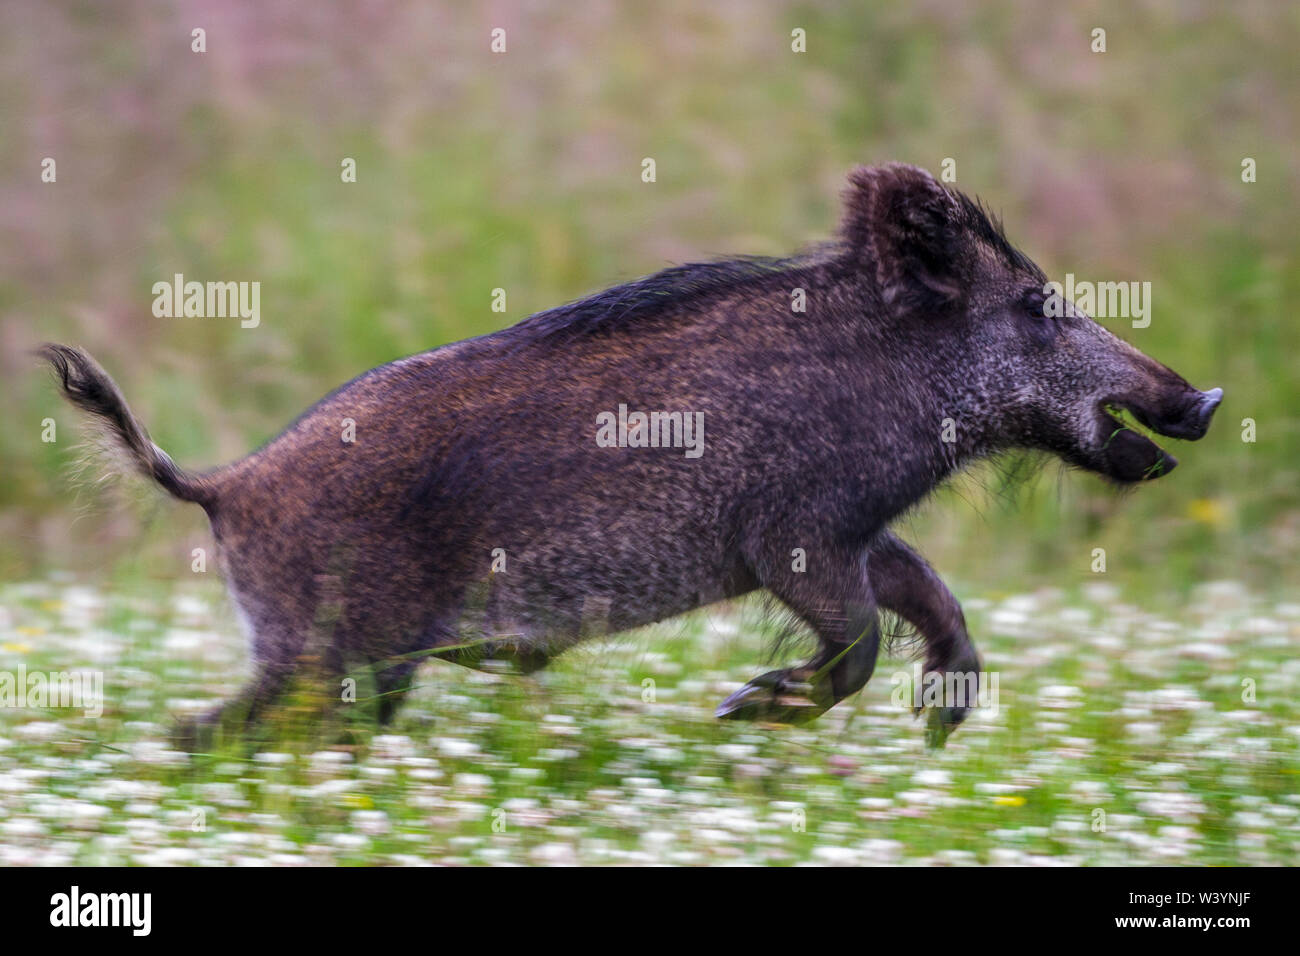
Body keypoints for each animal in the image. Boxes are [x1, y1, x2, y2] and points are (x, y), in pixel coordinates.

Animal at [41, 163, 1222, 748]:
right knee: (207, 731)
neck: (897, 379)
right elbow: (852, 644)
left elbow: (932, 598)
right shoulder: (792, 535)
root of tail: (221, 485)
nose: (1204, 397)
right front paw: (744, 710)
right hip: (315, 651)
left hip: (358, 664)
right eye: (1035, 304)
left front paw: (944, 722)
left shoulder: (852, 532)